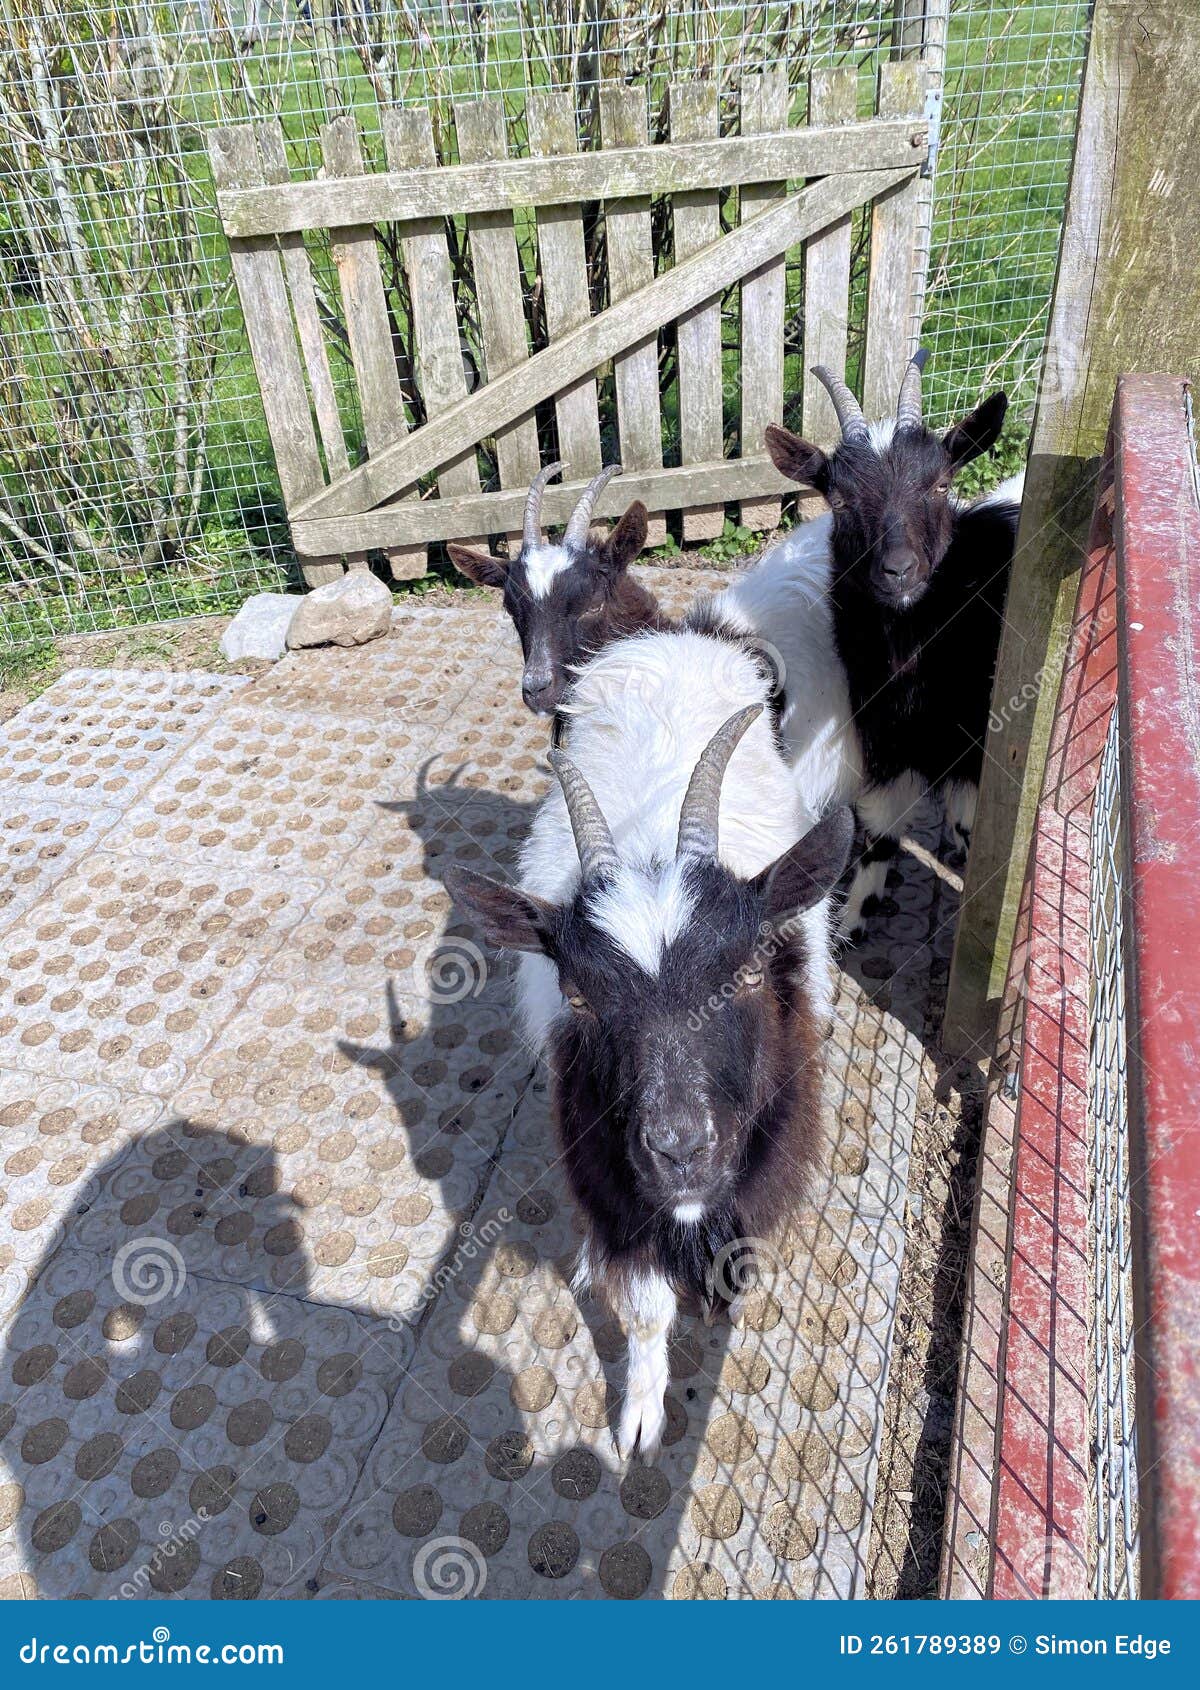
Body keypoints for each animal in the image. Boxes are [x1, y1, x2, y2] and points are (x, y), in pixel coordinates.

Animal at [446, 630, 853, 1456]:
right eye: (578, 994)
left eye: (751, 966)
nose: (680, 1148)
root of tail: (664, 640)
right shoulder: (605, 1168)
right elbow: (640, 1307)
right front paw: (638, 1417)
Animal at [766, 351, 1020, 942]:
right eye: (838, 498)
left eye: (942, 485)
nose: (899, 570)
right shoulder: (884, 734)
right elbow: (880, 829)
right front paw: (854, 917)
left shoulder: (979, 745)